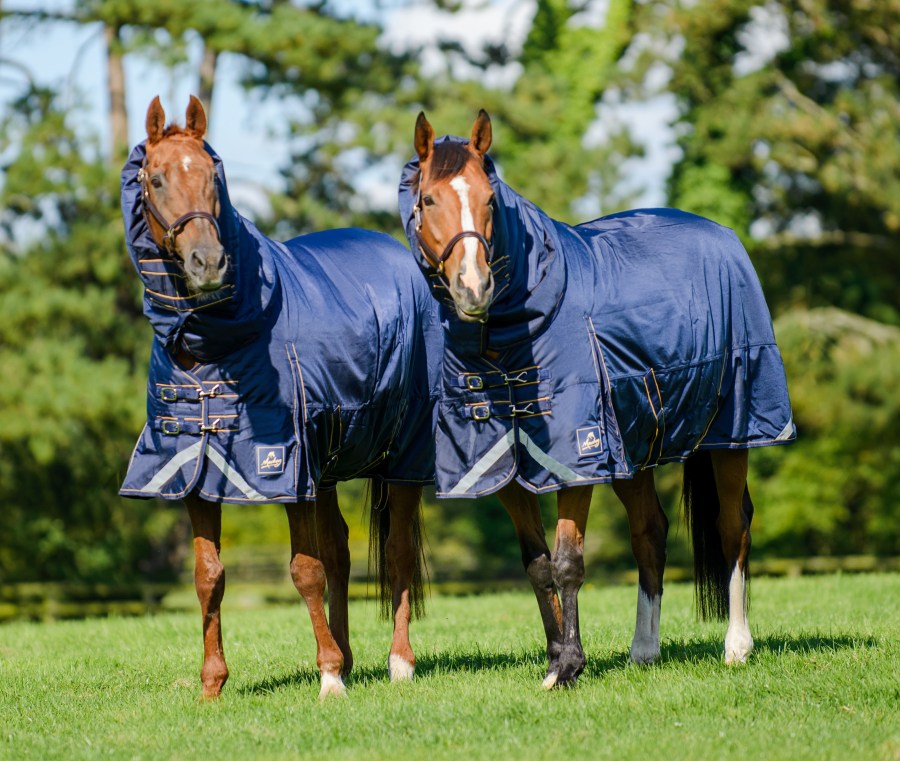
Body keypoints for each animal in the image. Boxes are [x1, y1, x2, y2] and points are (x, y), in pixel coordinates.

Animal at [119, 96, 440, 700]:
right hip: (330, 466)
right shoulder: (196, 469)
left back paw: (398, 662)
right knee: (341, 551)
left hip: (402, 455)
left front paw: (329, 678)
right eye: (155, 178)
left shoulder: (285, 469)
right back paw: (351, 655)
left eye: (214, 176)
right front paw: (212, 685)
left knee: (397, 554)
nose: (208, 263)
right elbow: (209, 577)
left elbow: (303, 570)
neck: (210, 346)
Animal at [399, 110, 795, 688]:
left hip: (732, 433)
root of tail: (722, 236)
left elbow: (567, 562)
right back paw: (644, 650)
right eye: (427, 199)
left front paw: (567, 666)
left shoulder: (576, 456)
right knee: (650, 531)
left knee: (732, 527)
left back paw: (737, 646)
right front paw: (554, 657)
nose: (475, 287)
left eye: (490, 199)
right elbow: (537, 564)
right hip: (634, 449)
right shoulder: (500, 464)